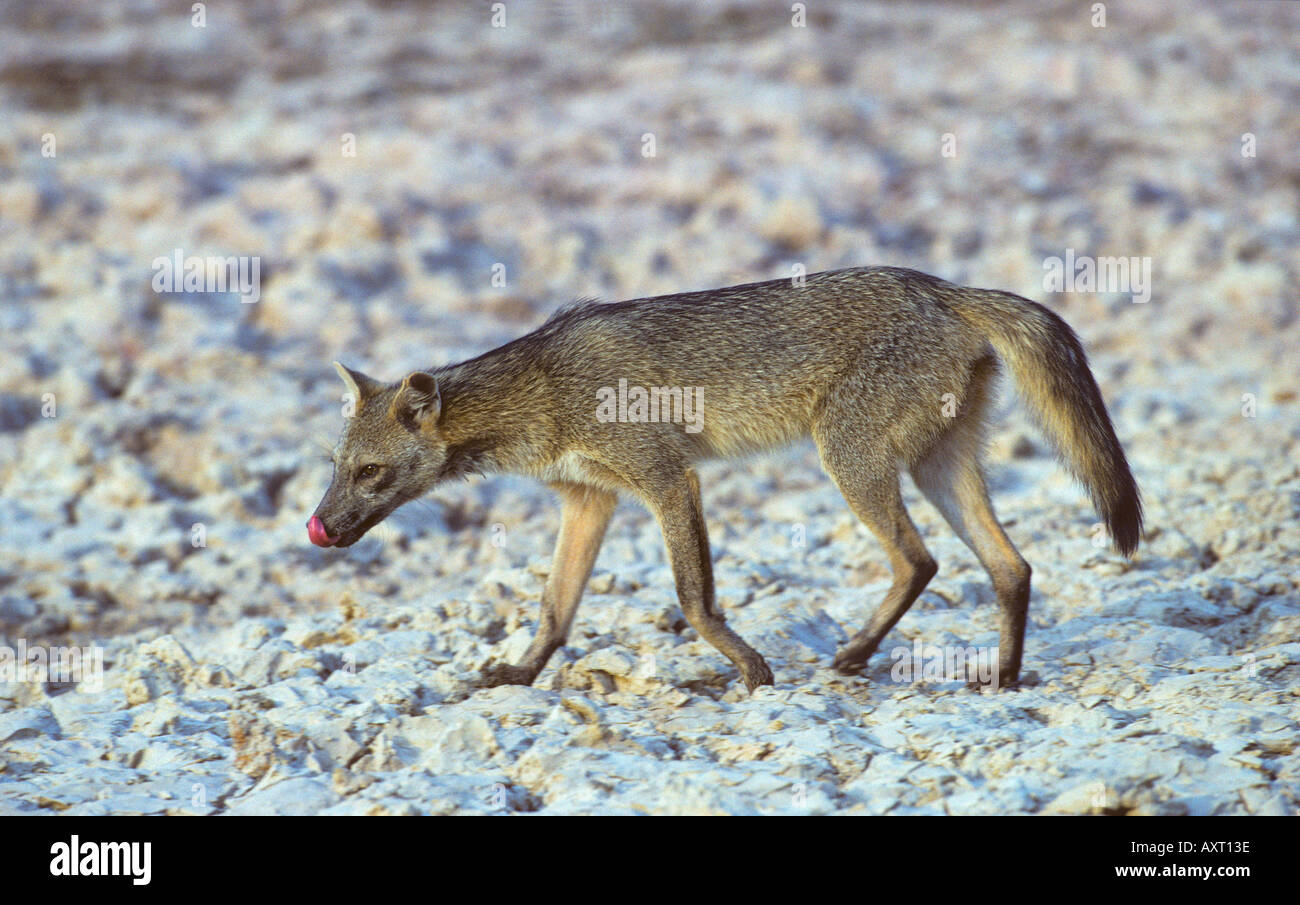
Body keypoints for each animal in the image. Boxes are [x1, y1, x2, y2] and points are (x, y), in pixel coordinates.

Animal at [308, 266, 1142, 692]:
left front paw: (747, 668)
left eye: (370, 473)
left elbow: (693, 596)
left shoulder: (668, 477)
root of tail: (941, 284)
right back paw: (1001, 675)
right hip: (935, 467)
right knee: (1011, 566)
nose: (319, 527)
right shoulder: (591, 498)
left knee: (922, 560)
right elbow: (555, 608)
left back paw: (854, 655)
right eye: (335, 469)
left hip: (852, 462)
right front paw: (519, 671)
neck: (543, 386)